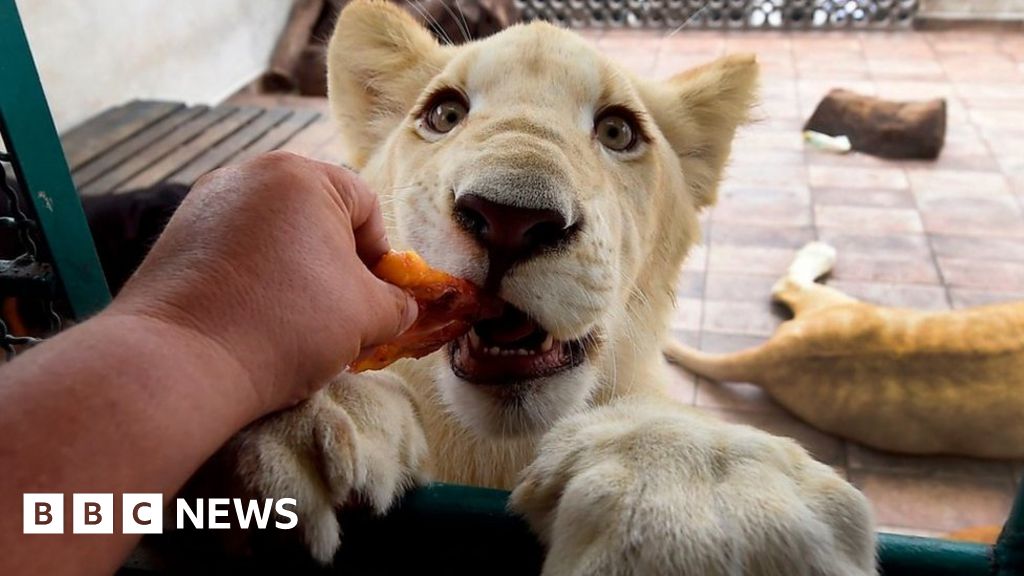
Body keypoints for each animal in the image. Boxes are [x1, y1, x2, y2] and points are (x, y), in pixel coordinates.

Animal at [221, 1, 877, 573]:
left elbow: (664, 426)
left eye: (616, 131)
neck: (496, 451)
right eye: (445, 115)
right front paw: (306, 422)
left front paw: (702, 505)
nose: (510, 218)